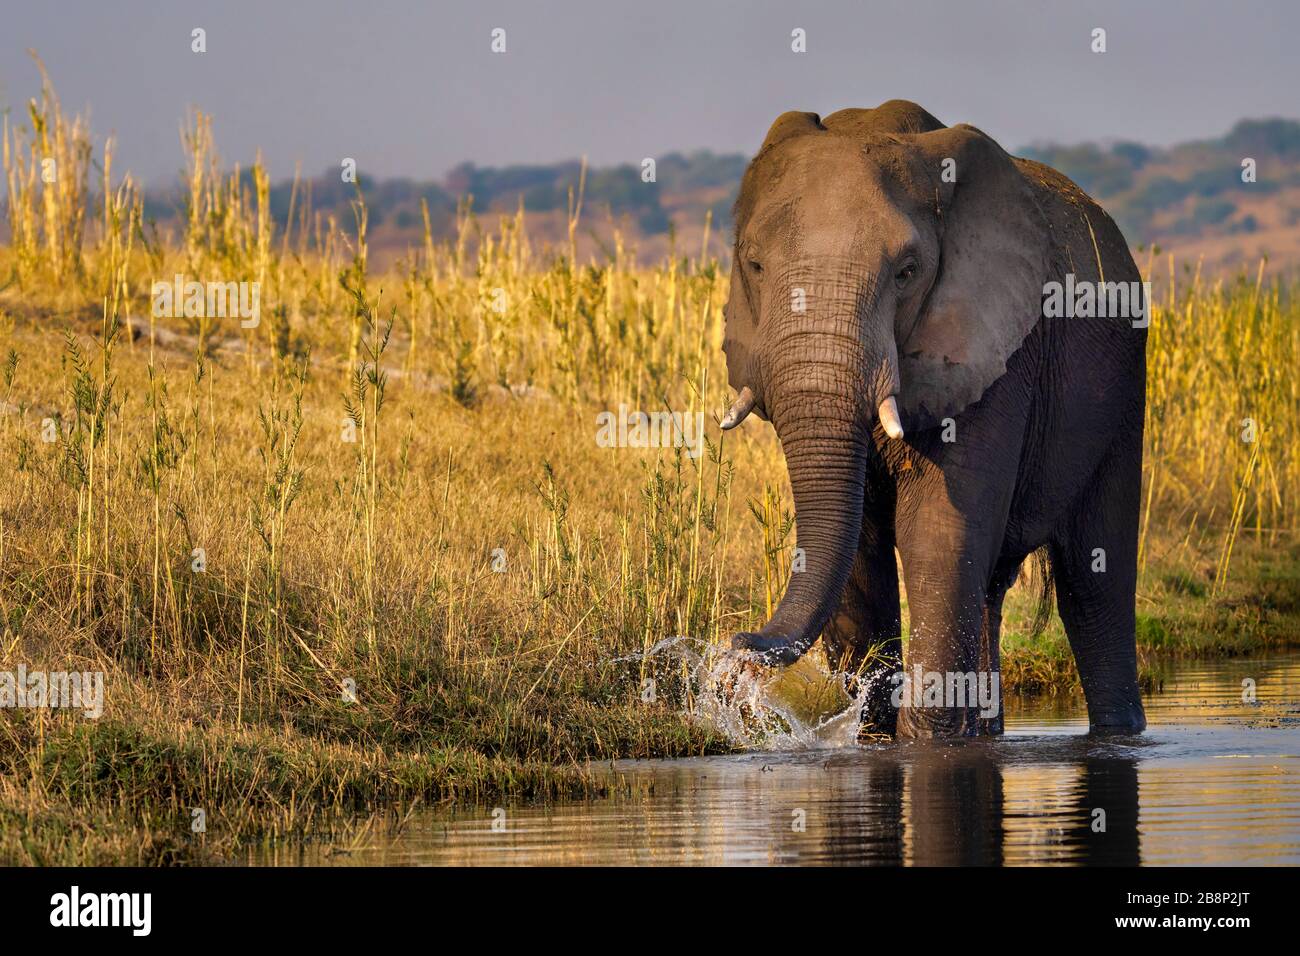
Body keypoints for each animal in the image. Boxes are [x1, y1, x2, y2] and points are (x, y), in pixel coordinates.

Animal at [720, 100, 1147, 738]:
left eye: (907, 271)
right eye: (753, 264)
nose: (735, 651)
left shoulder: (994, 351)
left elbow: (938, 534)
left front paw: (925, 747)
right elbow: (860, 546)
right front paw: (876, 736)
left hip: (1123, 387)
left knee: (1094, 581)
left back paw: (1119, 735)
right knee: (992, 585)